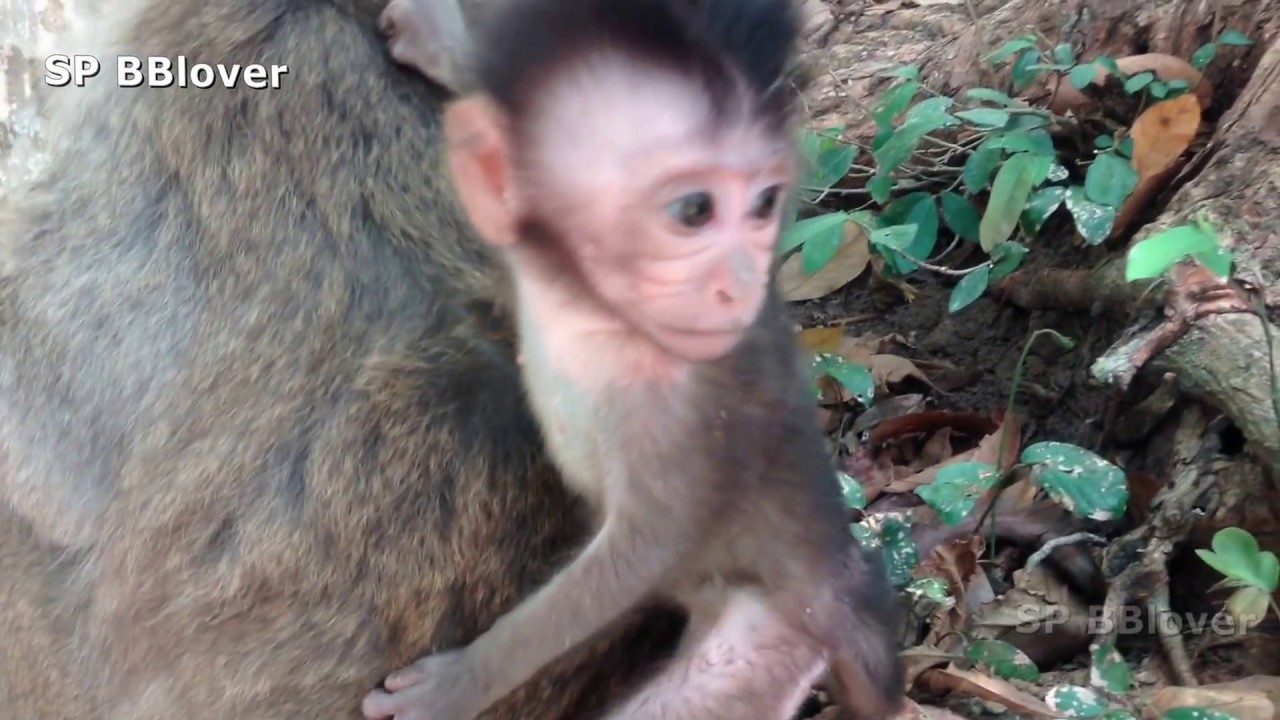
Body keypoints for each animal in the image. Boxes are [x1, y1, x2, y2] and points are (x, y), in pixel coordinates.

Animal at [360, 1, 906, 719]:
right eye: (694, 210)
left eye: (765, 204)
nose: (741, 282)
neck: (597, 315)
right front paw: (440, 42)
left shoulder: (691, 415)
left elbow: (641, 553)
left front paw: (463, 680)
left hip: (768, 636)